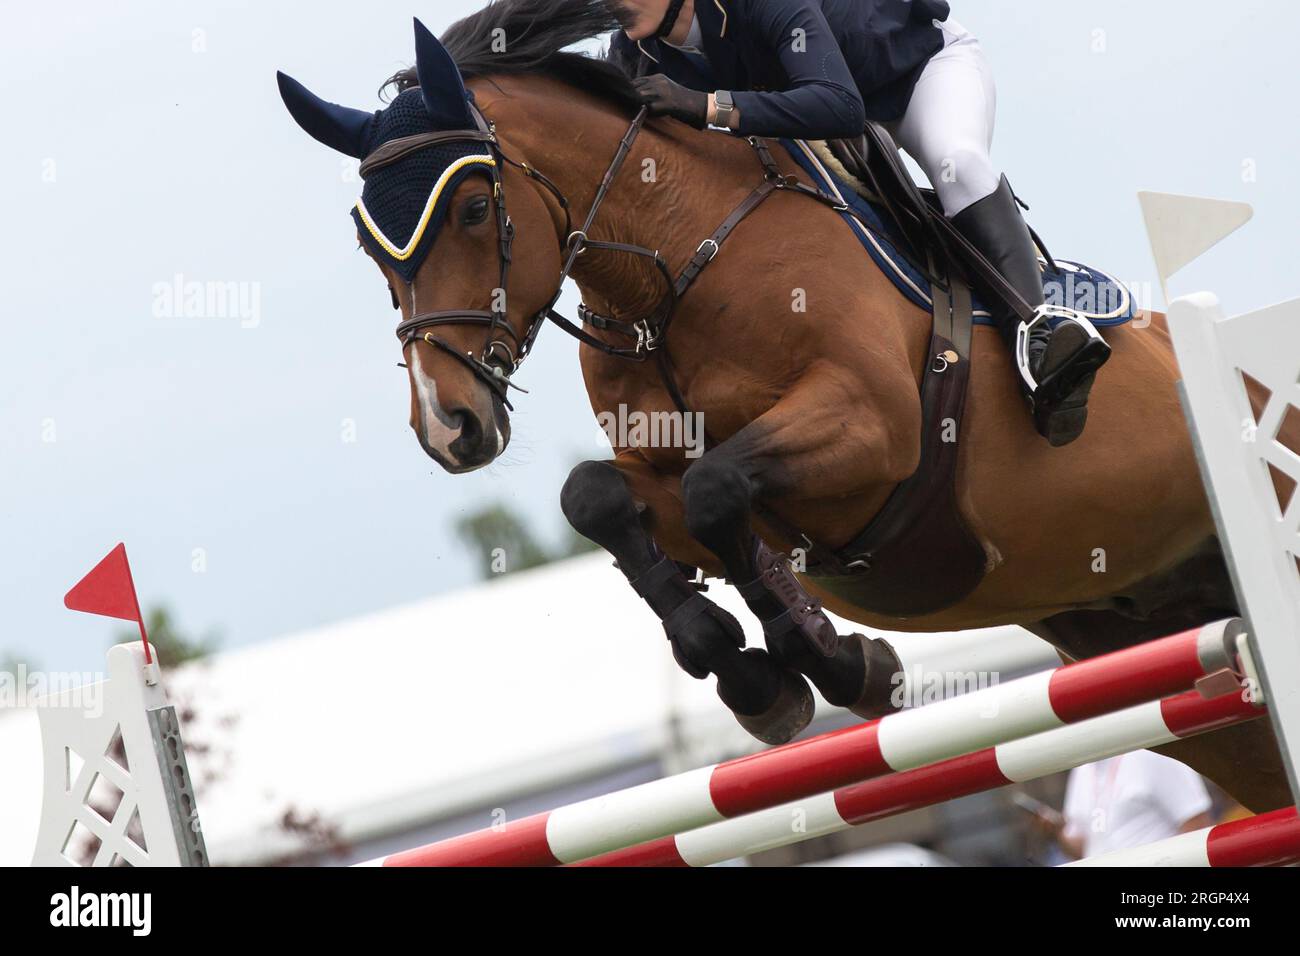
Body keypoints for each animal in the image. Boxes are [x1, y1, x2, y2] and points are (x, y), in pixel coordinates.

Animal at [278, 2, 1291, 811]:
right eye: (370, 244)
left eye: (475, 210)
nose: (448, 427)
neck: (675, 262)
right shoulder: (673, 467)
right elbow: (602, 499)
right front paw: (757, 672)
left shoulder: (871, 431)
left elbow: (720, 492)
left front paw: (831, 663)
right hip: (1149, 638)